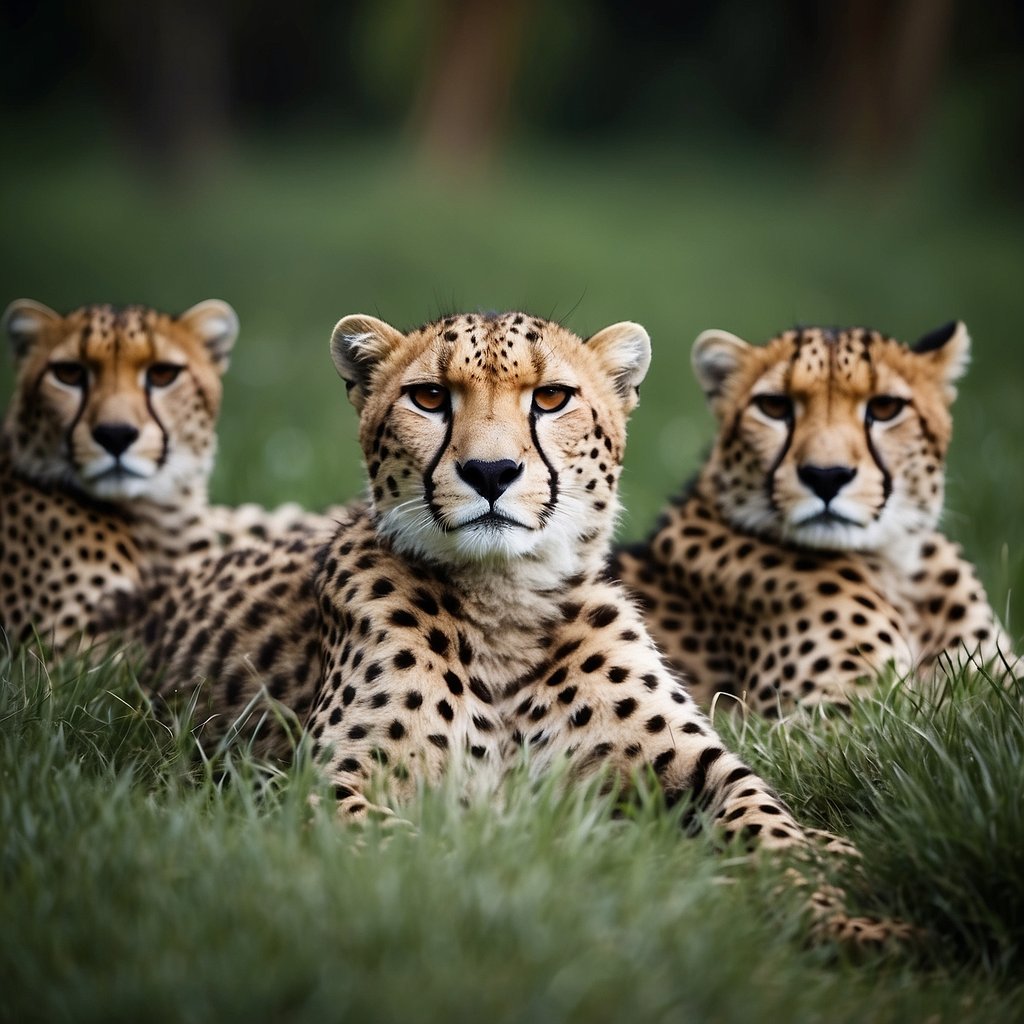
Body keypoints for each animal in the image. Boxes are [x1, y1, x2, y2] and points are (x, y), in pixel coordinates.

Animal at [127, 310, 909, 944]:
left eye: (552, 398)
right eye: (430, 397)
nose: (491, 471)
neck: (504, 603)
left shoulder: (698, 766)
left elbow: (769, 821)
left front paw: (840, 905)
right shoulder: (319, 790)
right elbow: (431, 853)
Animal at [613, 321, 1014, 716]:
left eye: (885, 407)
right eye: (774, 406)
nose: (826, 476)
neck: (896, 568)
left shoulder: (995, 677)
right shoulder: (823, 715)